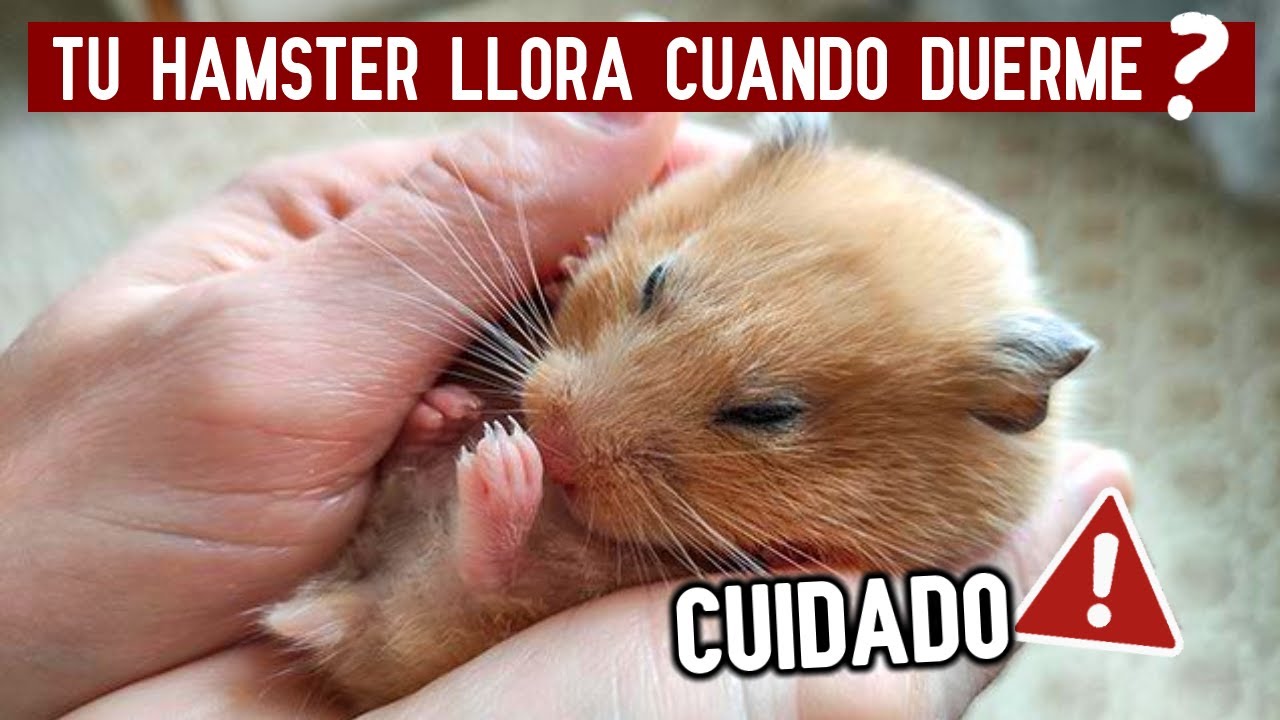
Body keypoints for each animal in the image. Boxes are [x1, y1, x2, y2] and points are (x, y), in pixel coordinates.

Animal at [263, 113, 1094, 710]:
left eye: (768, 413)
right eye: (654, 280)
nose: (550, 442)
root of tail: (344, 608)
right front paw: (571, 260)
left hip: (495, 601)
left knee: (486, 577)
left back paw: (497, 471)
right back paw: (455, 424)